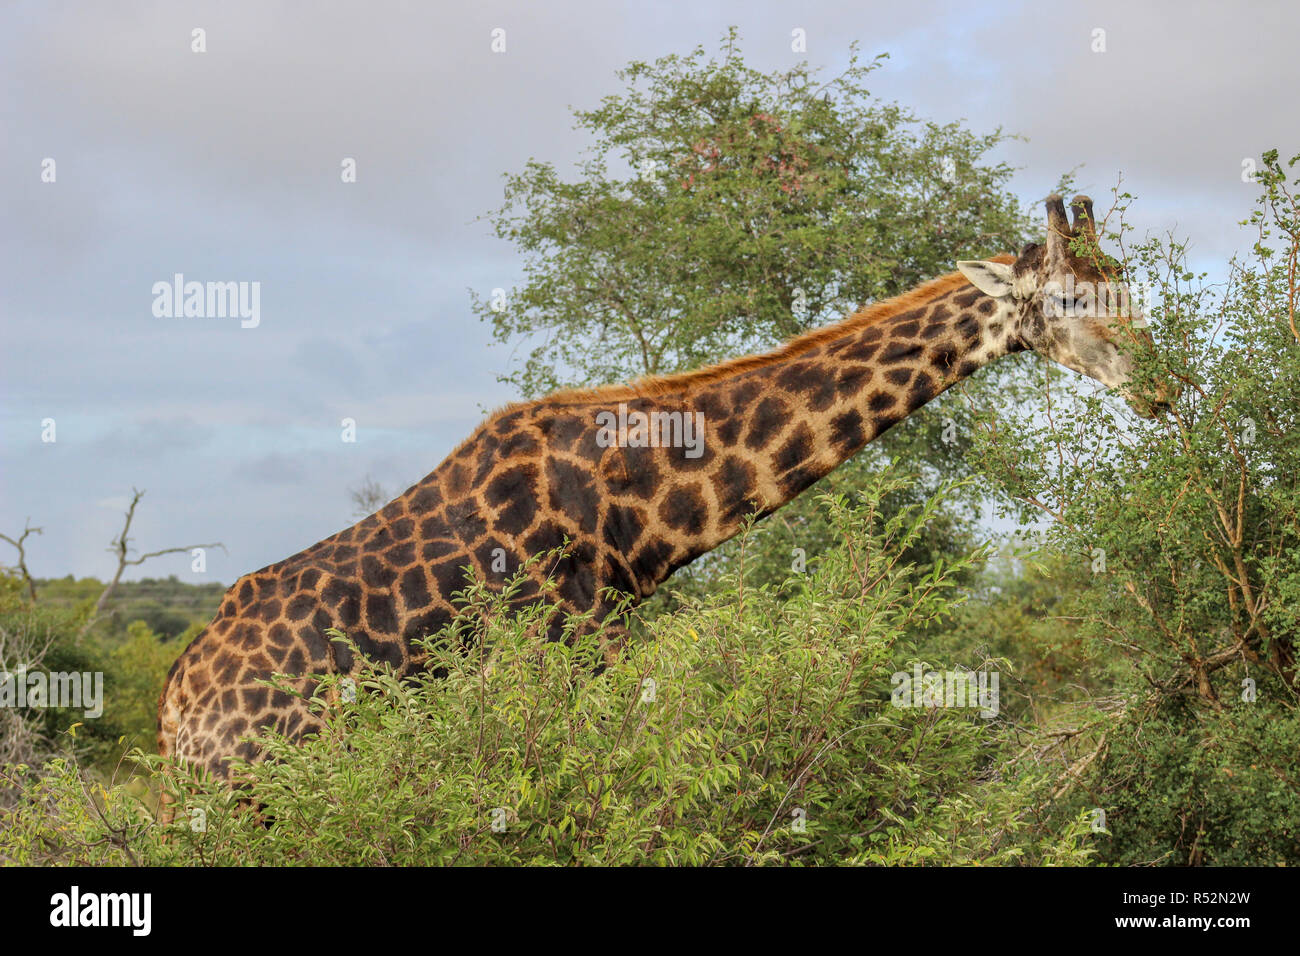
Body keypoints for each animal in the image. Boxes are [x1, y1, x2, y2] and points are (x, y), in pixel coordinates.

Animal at [157, 195, 1170, 788]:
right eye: (1071, 300)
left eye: (1123, 285)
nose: (1168, 388)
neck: (633, 517)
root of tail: (170, 720)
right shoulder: (574, 653)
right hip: (254, 787)